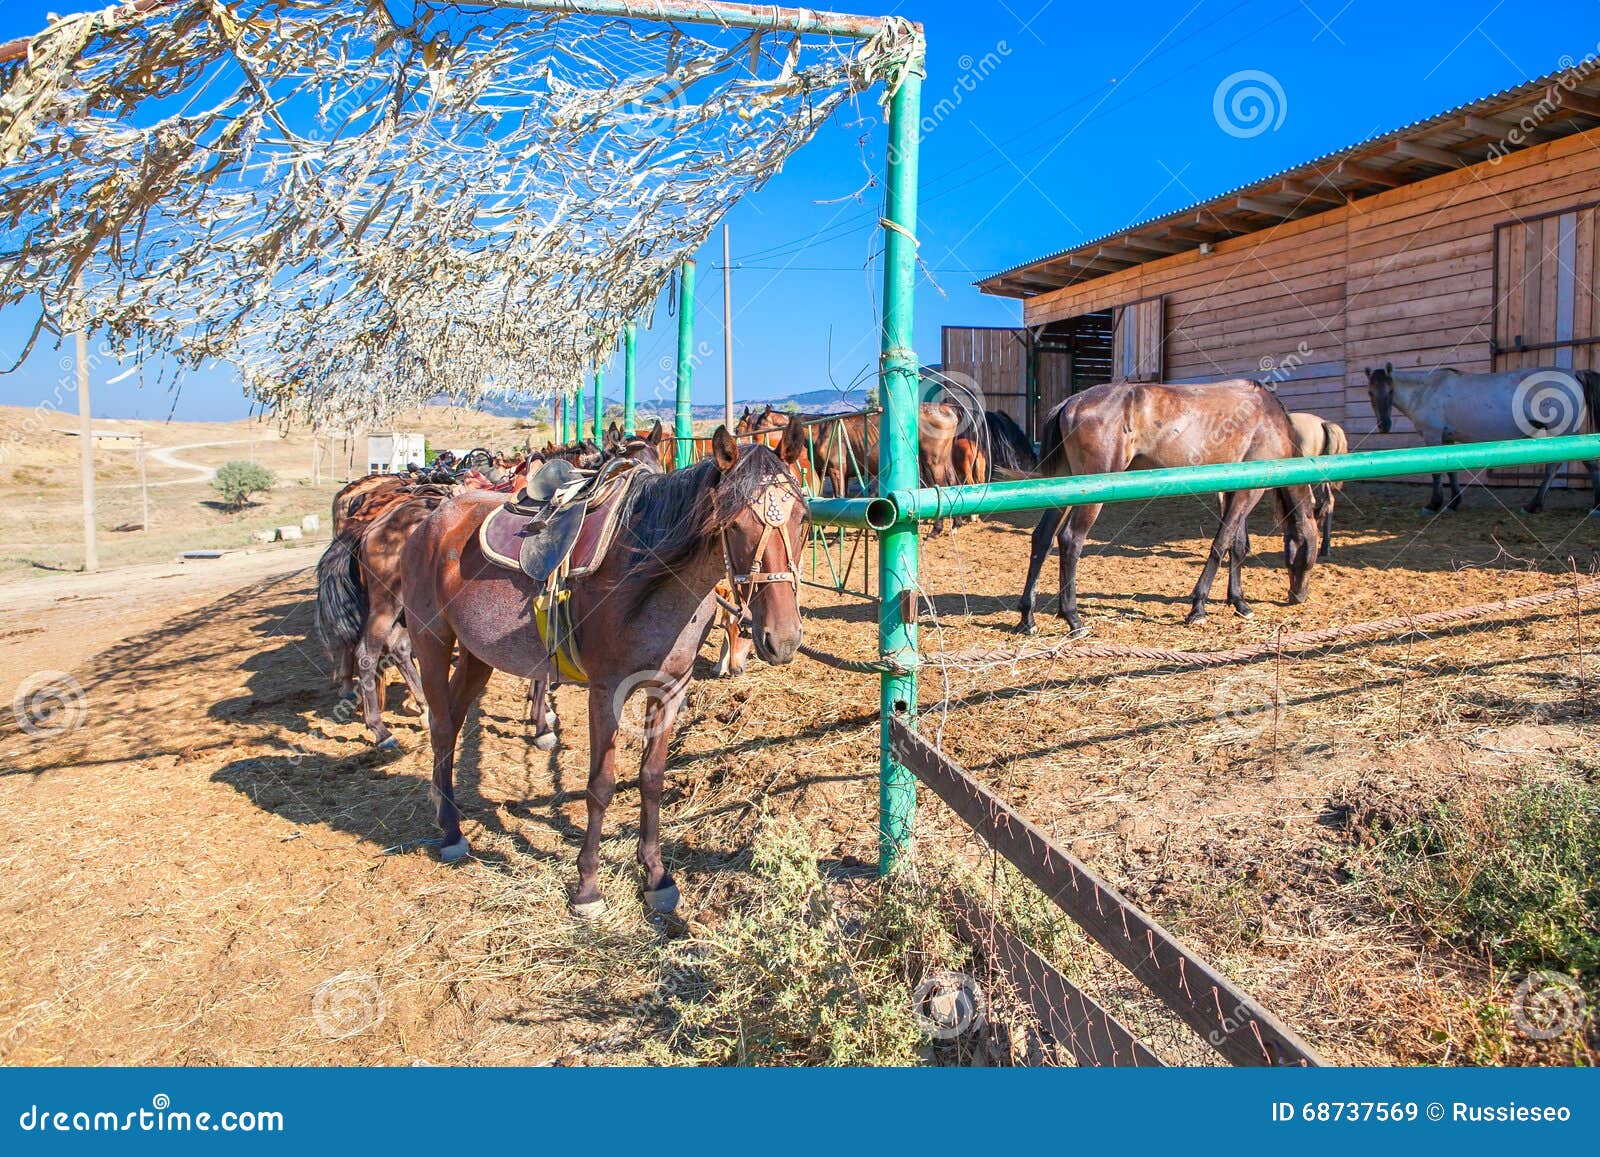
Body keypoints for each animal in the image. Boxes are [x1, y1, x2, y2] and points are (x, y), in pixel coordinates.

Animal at [401, 422, 811, 914]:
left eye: (803, 520)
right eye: (733, 524)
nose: (782, 640)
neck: (650, 576)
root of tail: (433, 519)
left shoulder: (670, 687)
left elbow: (651, 778)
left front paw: (655, 875)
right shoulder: (605, 690)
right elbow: (601, 784)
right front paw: (588, 885)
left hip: (476, 655)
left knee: (456, 719)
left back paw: (445, 806)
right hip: (432, 641)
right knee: (442, 725)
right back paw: (450, 831)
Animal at [1018, 379, 1319, 636]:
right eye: (1310, 555)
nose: (1299, 596)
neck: (1268, 417)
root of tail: (1070, 402)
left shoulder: (1234, 490)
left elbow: (1238, 545)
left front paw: (1239, 603)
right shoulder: (1250, 490)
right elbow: (1221, 544)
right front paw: (1198, 608)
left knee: (1042, 537)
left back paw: (1028, 618)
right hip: (1090, 493)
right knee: (1071, 540)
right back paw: (1073, 619)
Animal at [1363, 363, 1600, 514]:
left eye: (1391, 390)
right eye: (1370, 393)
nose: (1384, 425)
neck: (1426, 390)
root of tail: (1574, 373)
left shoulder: (1433, 436)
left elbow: (1437, 472)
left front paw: (1433, 505)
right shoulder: (1447, 438)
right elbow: (1451, 470)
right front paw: (1453, 503)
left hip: (1563, 432)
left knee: (1568, 465)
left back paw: (1540, 506)